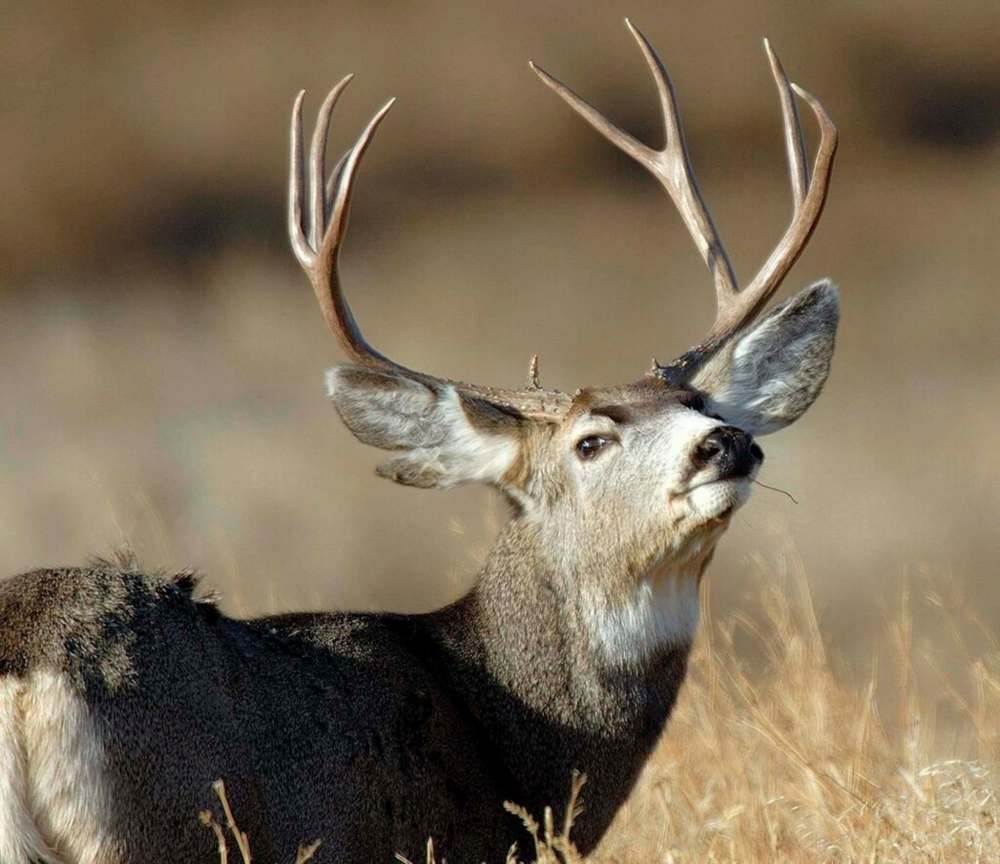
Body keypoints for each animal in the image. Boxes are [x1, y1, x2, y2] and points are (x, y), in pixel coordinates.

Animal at [0, 20, 837, 864]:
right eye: (591, 443)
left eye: (695, 402)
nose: (725, 442)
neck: (502, 724)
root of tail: (27, 655)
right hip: (160, 831)